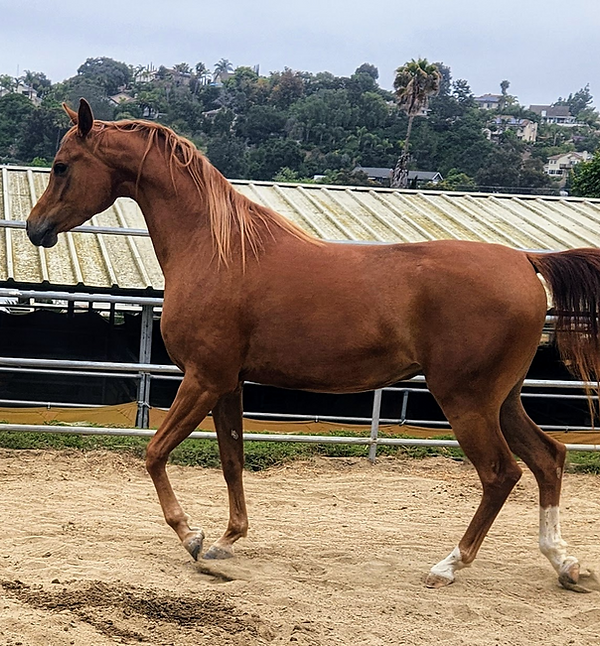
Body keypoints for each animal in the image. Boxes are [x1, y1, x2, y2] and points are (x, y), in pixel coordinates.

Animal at [26, 98, 600, 591]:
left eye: (61, 166)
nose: (35, 229)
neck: (216, 250)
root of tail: (526, 261)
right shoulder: (228, 384)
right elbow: (231, 459)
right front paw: (227, 541)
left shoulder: (203, 379)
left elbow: (153, 453)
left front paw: (193, 537)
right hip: (503, 400)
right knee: (548, 458)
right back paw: (564, 563)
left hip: (466, 401)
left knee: (501, 474)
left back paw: (449, 566)